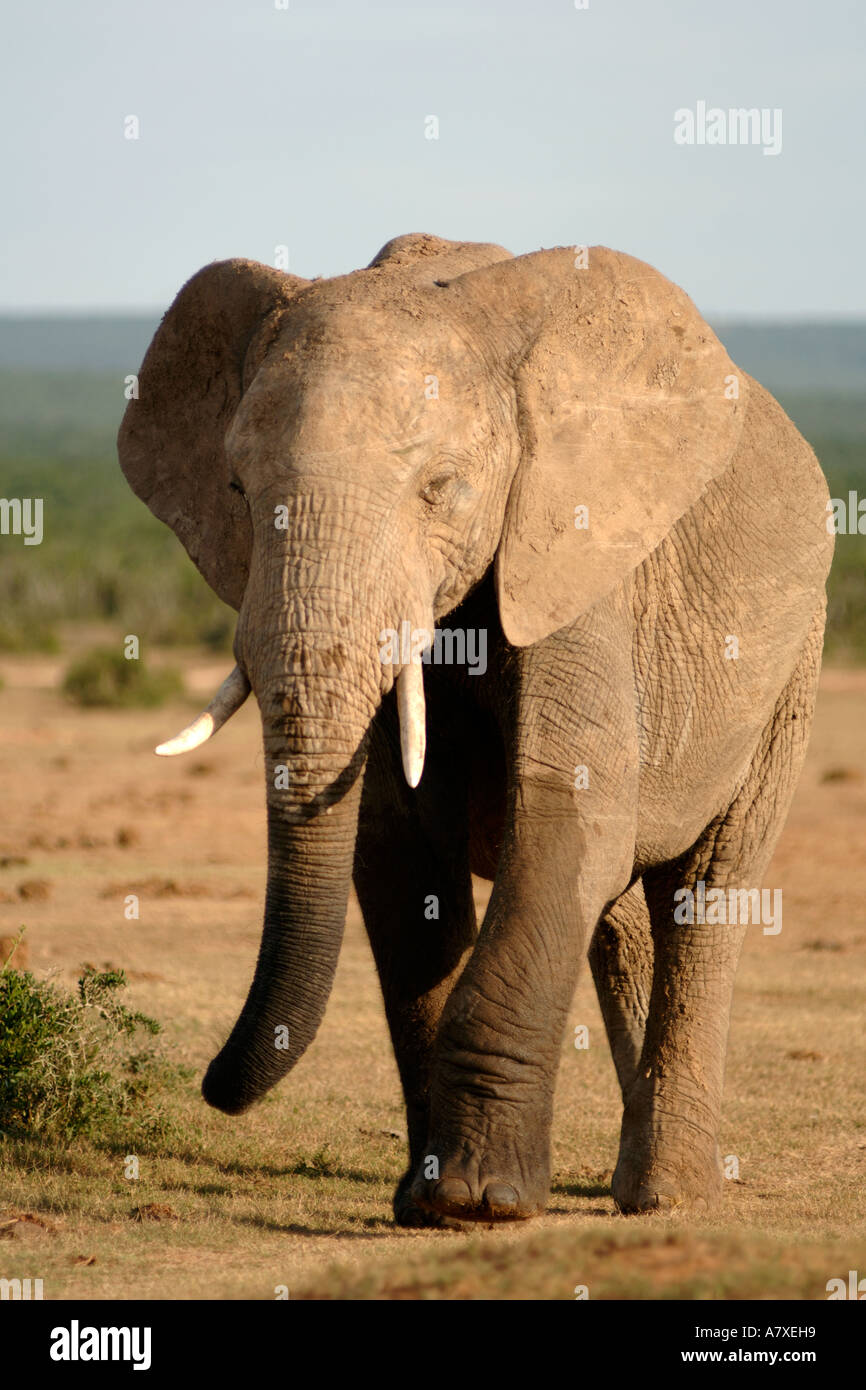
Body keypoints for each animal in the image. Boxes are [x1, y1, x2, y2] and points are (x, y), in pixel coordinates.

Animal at [118, 233, 833, 1225]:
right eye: (236, 488)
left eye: (442, 488)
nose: (213, 1084)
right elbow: (396, 851)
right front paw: (429, 1200)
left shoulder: (575, 552)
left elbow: (563, 818)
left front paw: (478, 1200)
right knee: (619, 911)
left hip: (794, 661)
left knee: (705, 890)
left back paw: (670, 1195)